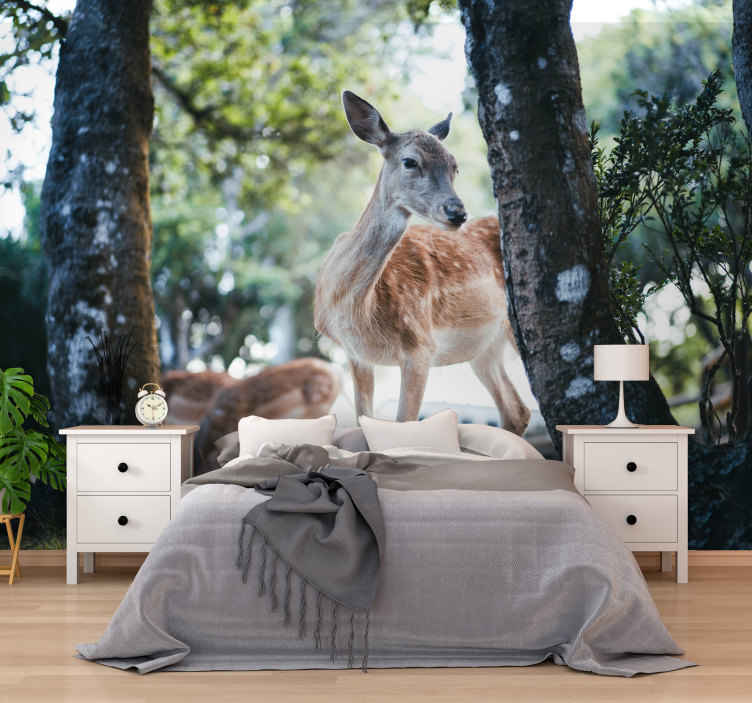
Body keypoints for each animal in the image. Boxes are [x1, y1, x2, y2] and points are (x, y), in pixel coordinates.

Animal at [313, 91, 531, 435]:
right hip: (484, 347)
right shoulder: (356, 355)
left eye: (455, 166)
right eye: (410, 161)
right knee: (515, 410)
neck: (356, 308)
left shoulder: (420, 344)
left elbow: (404, 424)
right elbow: (365, 421)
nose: (457, 212)